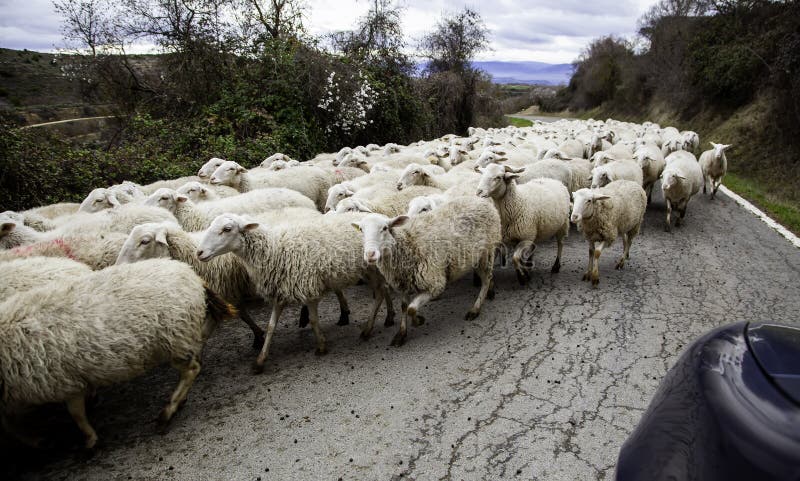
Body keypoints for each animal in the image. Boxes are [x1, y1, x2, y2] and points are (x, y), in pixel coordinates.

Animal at [0, 259, 236, 448]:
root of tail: (191, 275)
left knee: (191, 370)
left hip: (174, 340)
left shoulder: (66, 381)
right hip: (181, 337)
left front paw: (89, 439)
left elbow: (76, 414)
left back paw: (168, 411)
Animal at [197, 213, 394, 373]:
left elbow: (313, 320)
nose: (199, 252)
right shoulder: (280, 292)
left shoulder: (309, 287)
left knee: (381, 291)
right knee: (383, 290)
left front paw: (321, 346)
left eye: (227, 229)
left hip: (373, 268)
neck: (275, 250)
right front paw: (260, 361)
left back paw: (369, 328)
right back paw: (387, 319)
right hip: (370, 270)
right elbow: (271, 326)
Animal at [351, 196, 501, 346]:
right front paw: (401, 334)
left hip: (486, 252)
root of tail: (481, 200)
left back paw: (475, 309)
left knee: (486, 279)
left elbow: (411, 309)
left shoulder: (434, 284)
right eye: (361, 230)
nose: (370, 254)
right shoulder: (403, 284)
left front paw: (418, 321)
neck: (409, 244)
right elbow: (404, 307)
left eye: (385, 228)